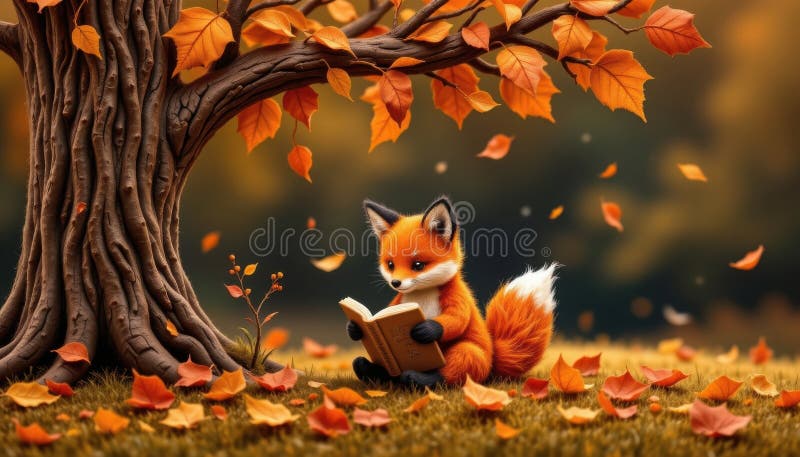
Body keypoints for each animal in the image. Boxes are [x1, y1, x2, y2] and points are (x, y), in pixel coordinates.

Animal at [347, 196, 557, 388]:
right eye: (390, 264)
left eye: (418, 265)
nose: (396, 283)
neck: (422, 297)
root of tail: (492, 364)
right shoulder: (398, 301)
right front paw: (354, 328)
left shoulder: (458, 297)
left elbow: (456, 320)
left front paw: (427, 328)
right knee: (378, 370)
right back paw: (371, 370)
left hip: (466, 352)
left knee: (446, 376)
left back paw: (417, 378)